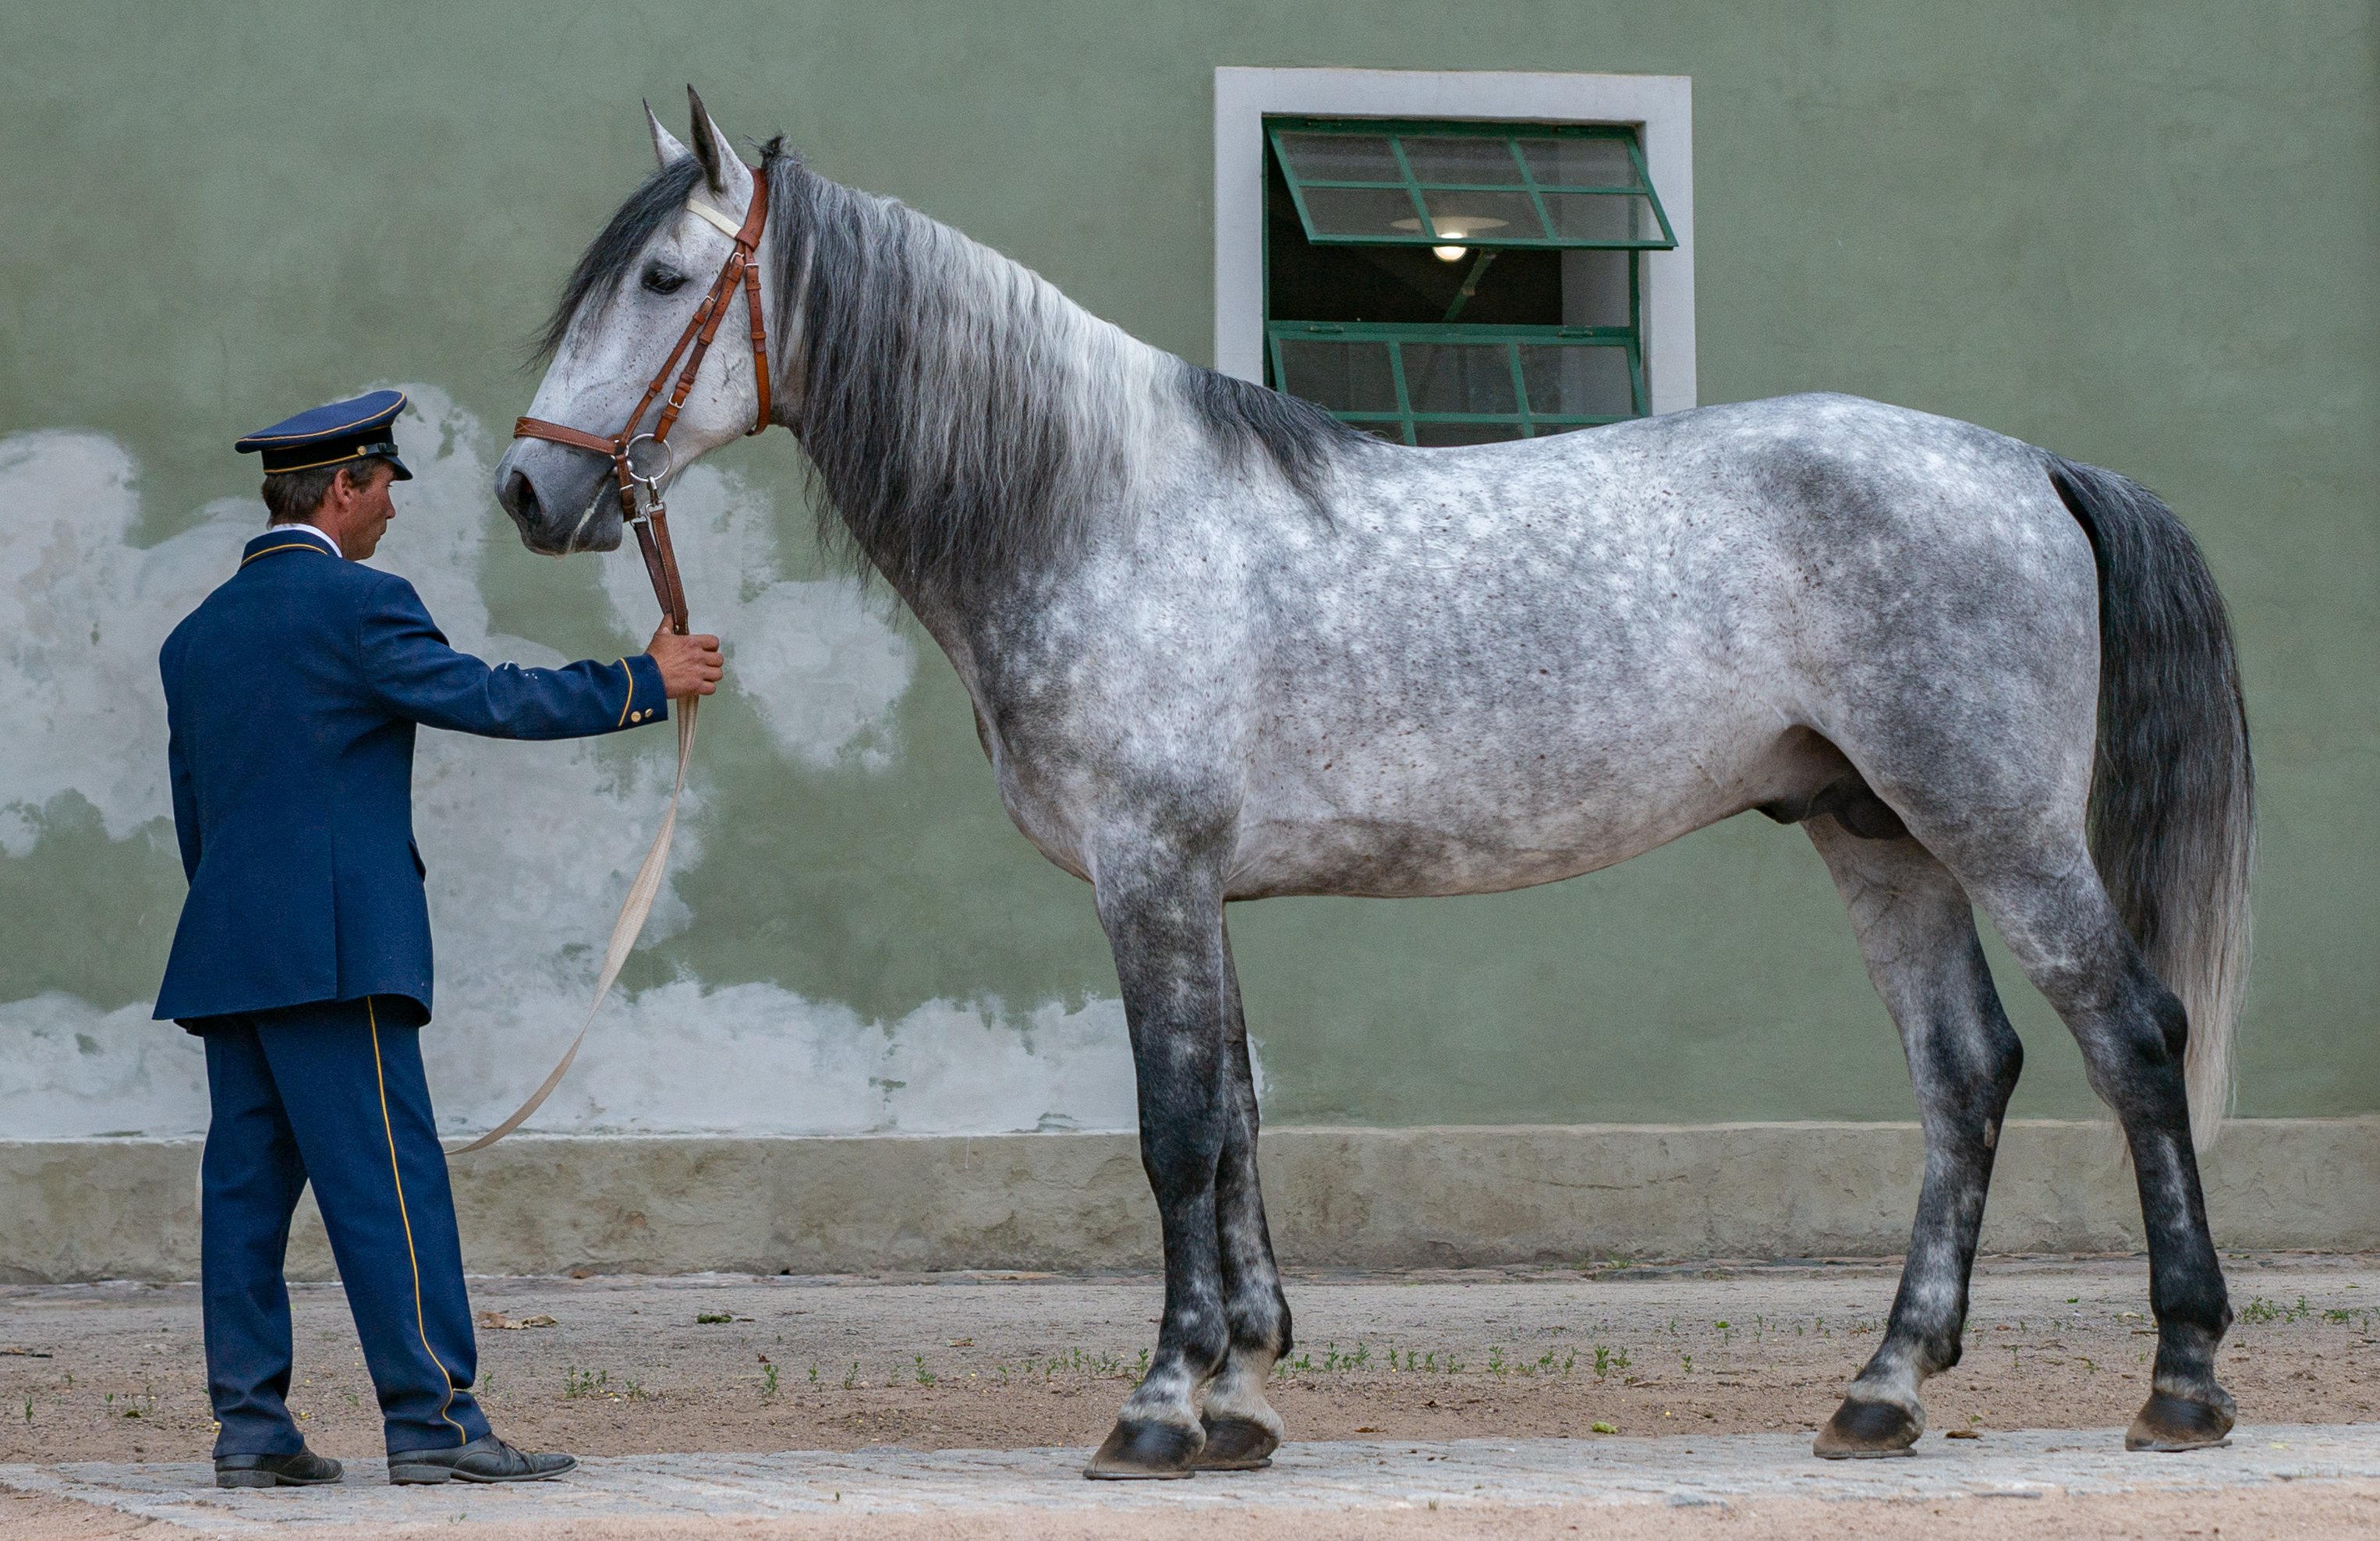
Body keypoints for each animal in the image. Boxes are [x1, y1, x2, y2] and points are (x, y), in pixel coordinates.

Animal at [496, 91, 2252, 1477]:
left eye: (664, 279)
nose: (525, 490)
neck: (1095, 512)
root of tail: (2027, 466)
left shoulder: (1148, 870)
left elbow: (1175, 1130)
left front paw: (1156, 1408)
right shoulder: (1198, 886)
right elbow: (1237, 1119)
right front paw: (1243, 1396)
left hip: (1993, 825)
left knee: (2129, 1037)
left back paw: (2178, 1380)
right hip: (1874, 833)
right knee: (1963, 1073)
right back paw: (1880, 1391)